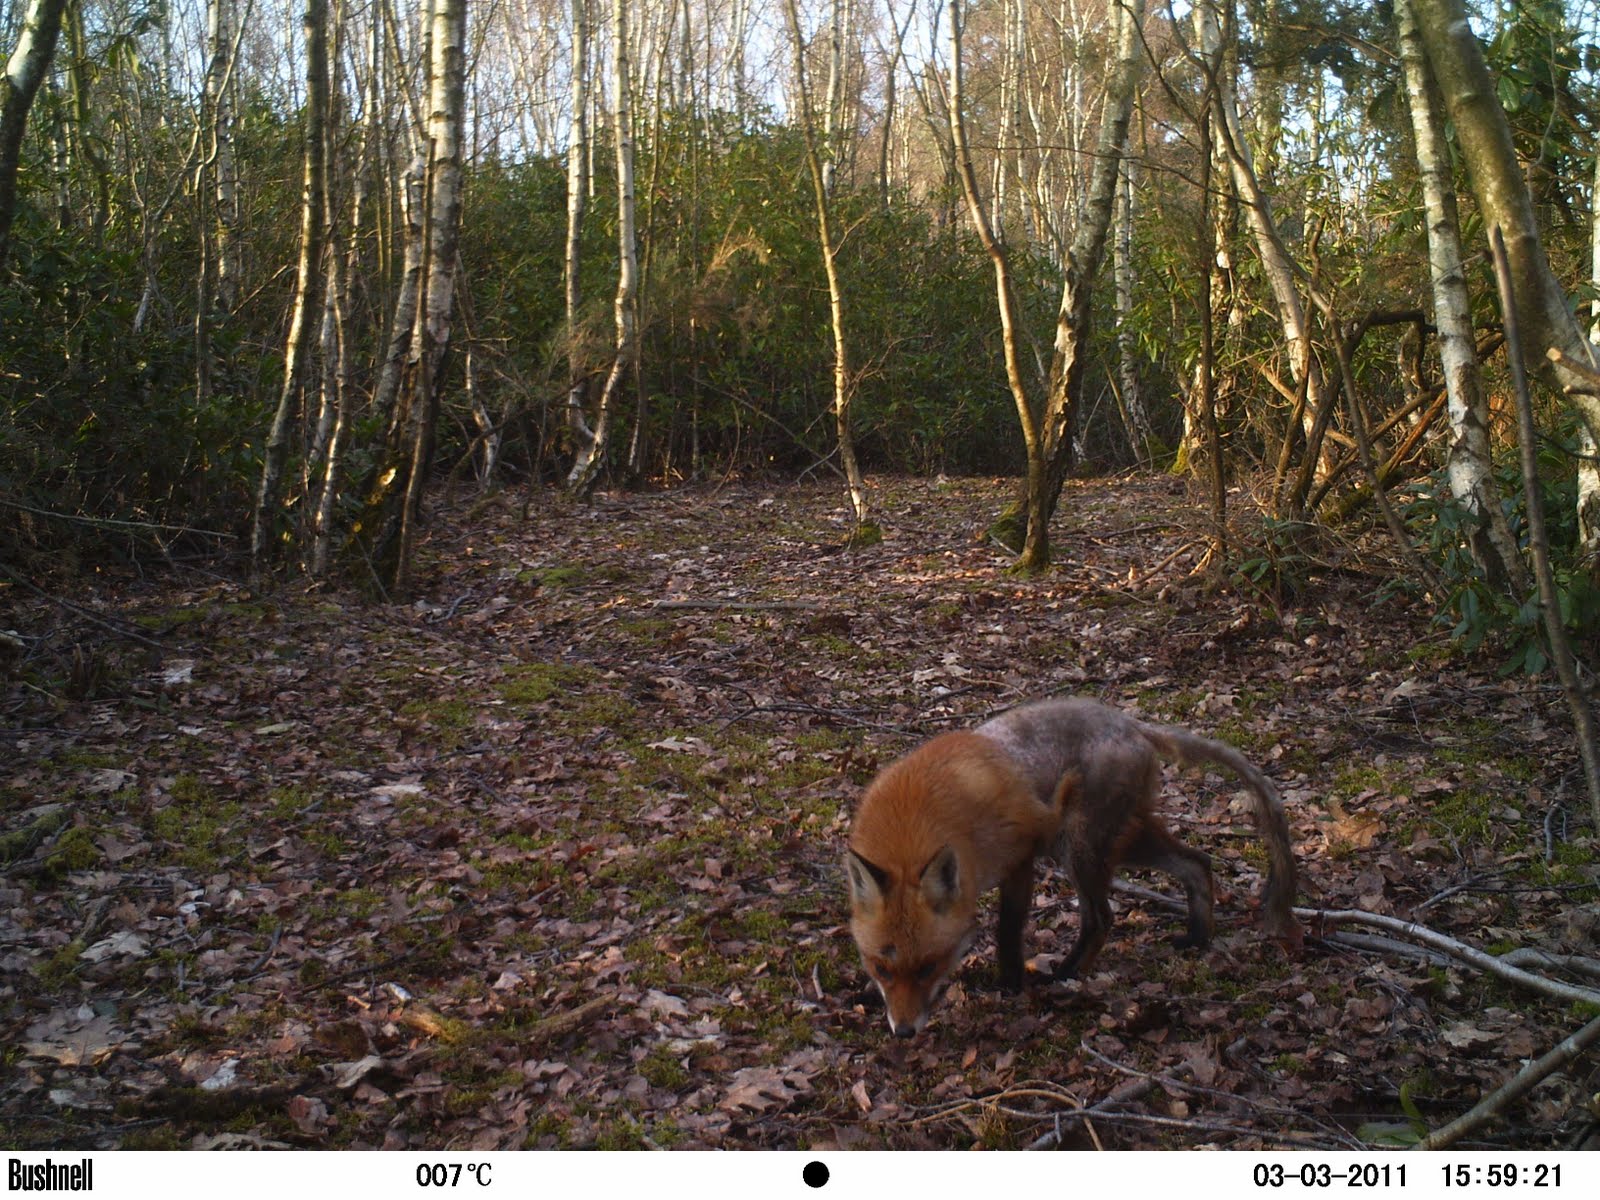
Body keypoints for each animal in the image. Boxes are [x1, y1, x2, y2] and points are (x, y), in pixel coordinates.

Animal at [844, 697, 1301, 1037]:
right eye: (882, 967)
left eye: (928, 967)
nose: (904, 1031)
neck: (918, 819)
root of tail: (1130, 723)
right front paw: (867, 993)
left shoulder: (1020, 857)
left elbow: (1007, 931)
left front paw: (1010, 985)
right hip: (1121, 843)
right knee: (1197, 863)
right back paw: (1198, 937)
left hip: (1076, 848)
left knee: (1102, 917)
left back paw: (1064, 975)